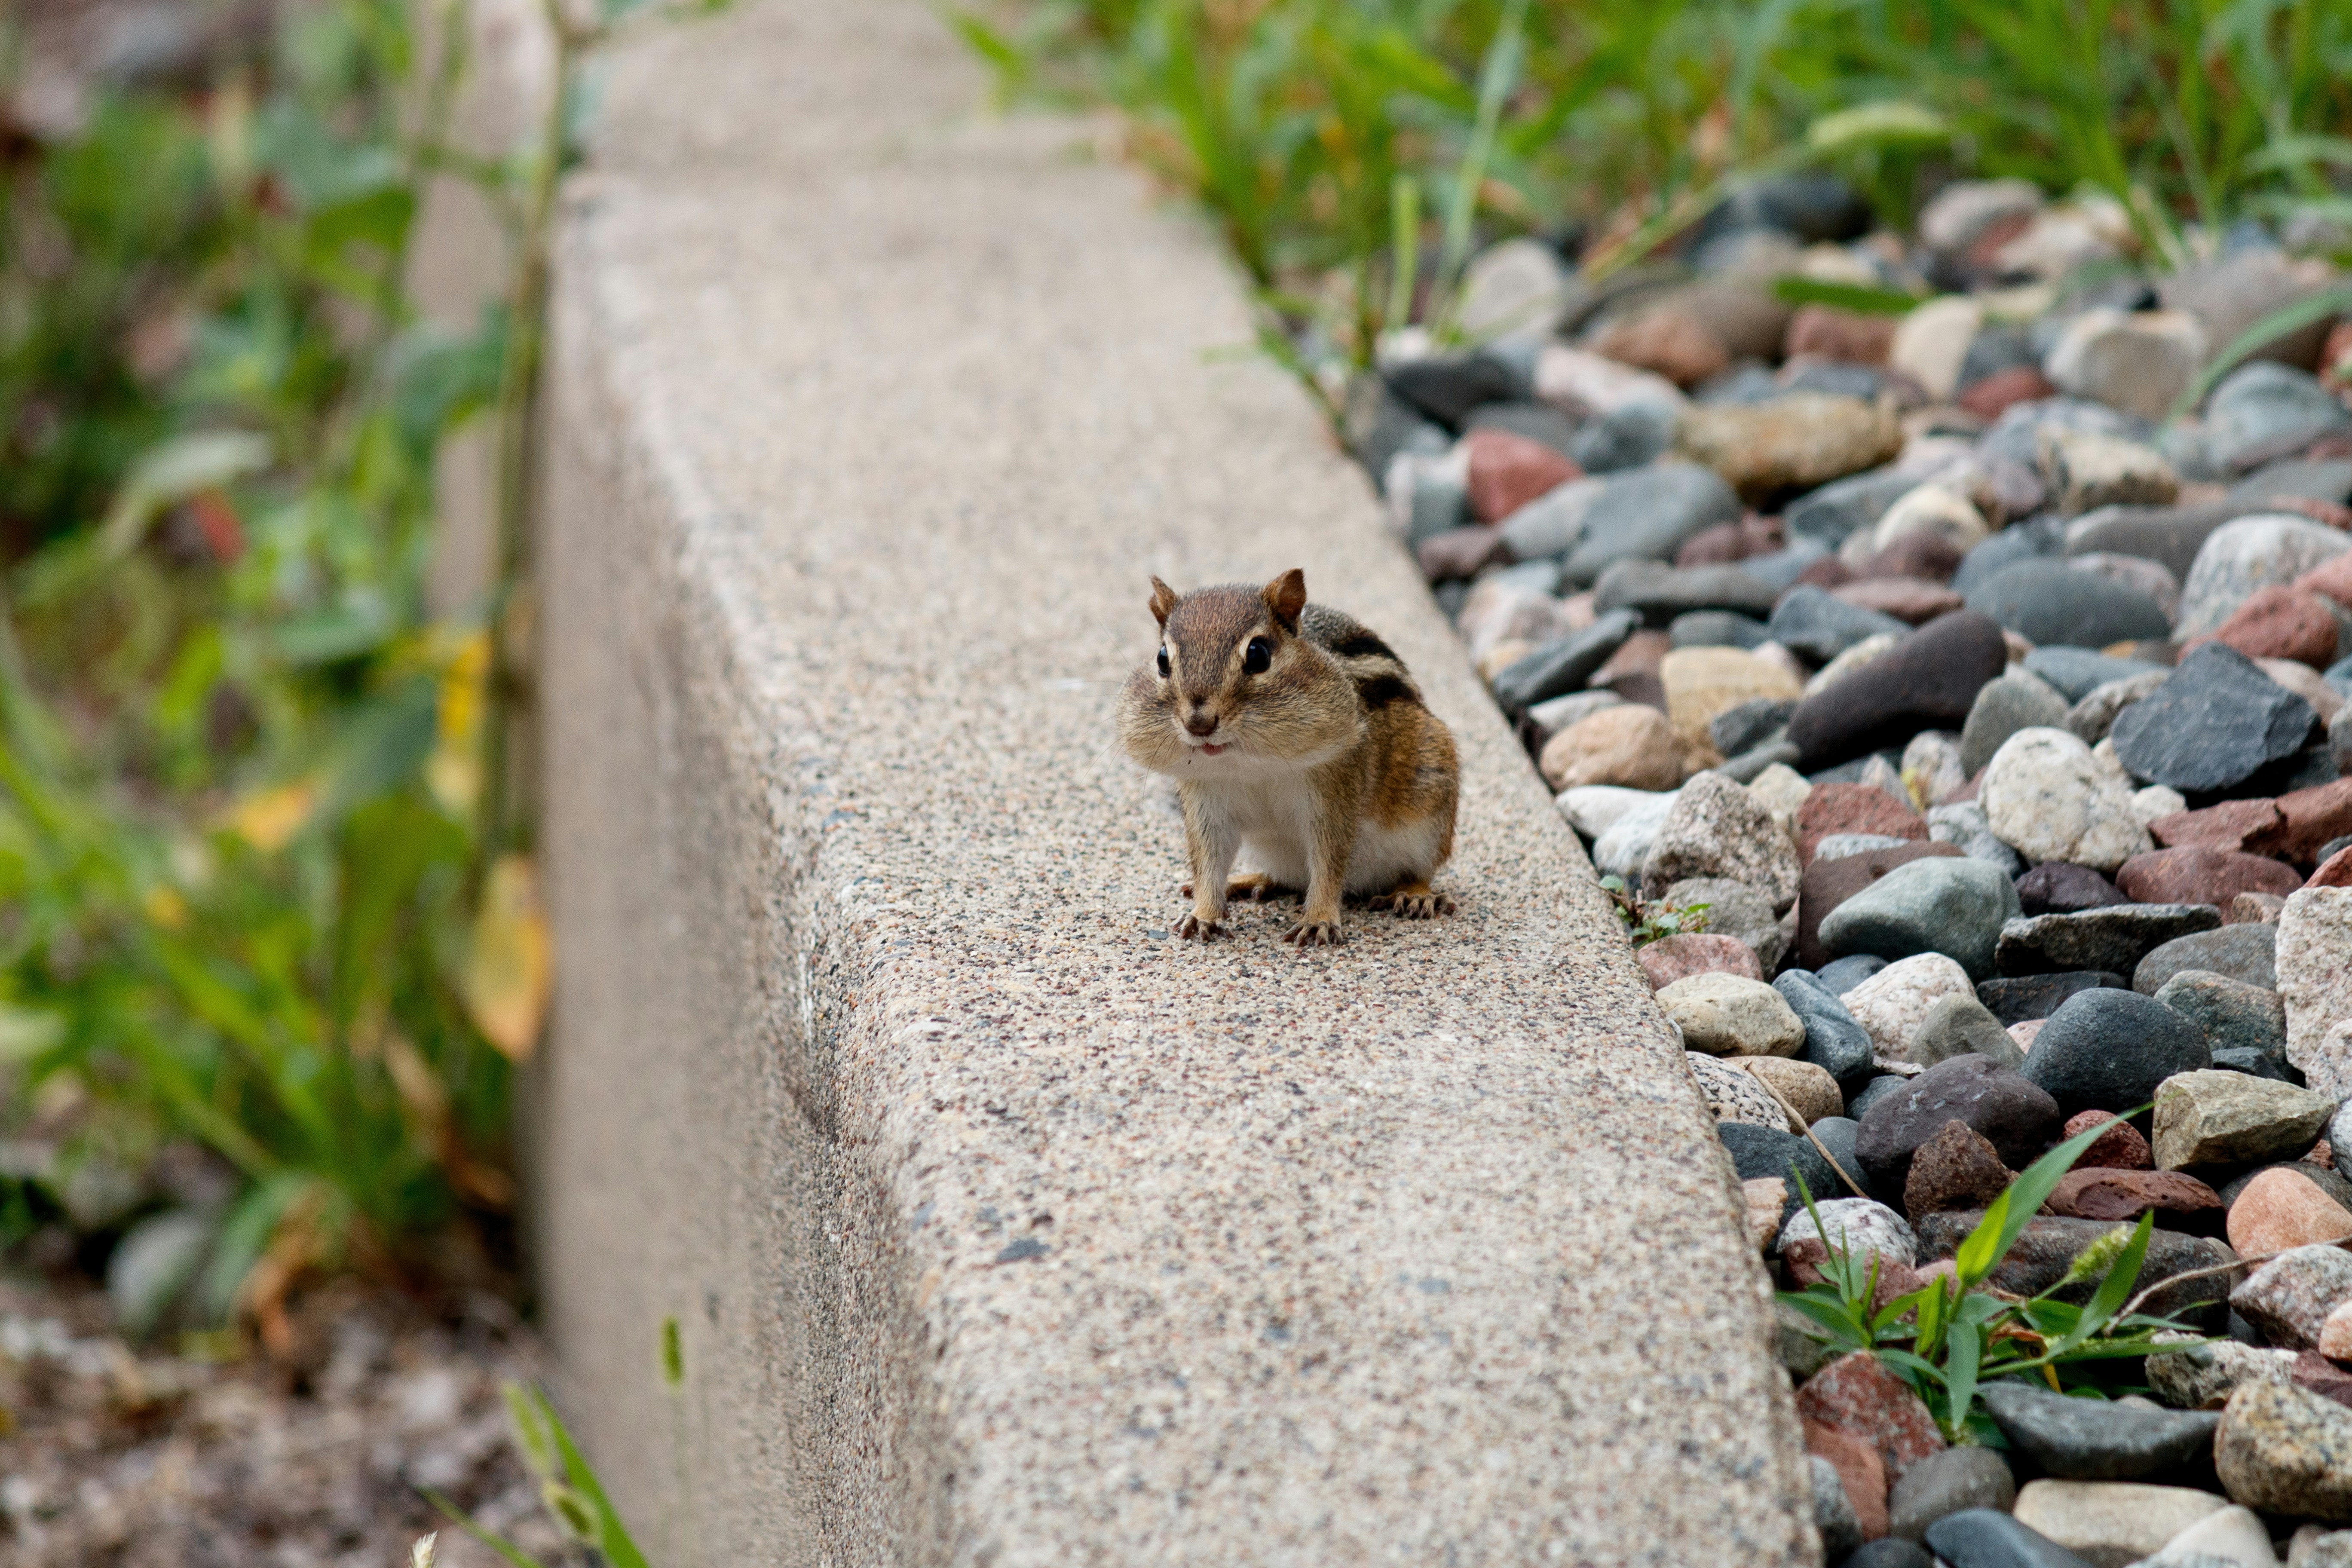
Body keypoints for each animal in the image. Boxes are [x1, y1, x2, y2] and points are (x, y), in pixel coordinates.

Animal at [1116, 567, 1460, 947]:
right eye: (1162, 659)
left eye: (1258, 655)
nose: (1199, 724)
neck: (1247, 762)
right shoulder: (1205, 798)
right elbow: (1207, 860)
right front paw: (1203, 913)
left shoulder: (1333, 792)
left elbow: (1329, 861)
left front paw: (1319, 919)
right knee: (1288, 879)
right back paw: (1250, 881)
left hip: (1431, 812)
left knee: (1419, 871)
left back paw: (1415, 894)